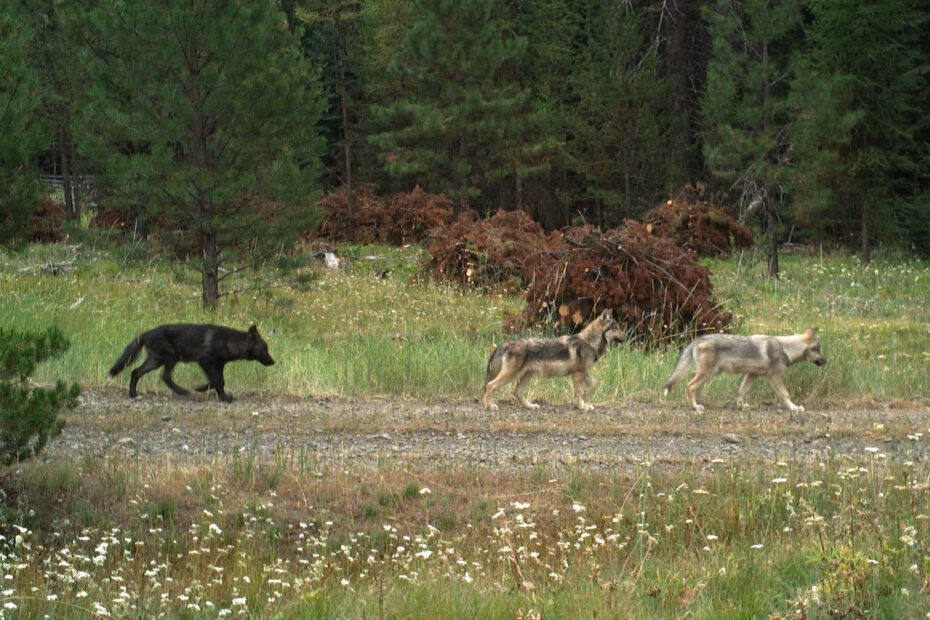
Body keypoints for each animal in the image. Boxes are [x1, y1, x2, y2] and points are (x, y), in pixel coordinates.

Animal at [109, 324, 275, 402]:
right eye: (265, 349)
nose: (273, 362)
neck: (227, 341)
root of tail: (143, 334)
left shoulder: (218, 365)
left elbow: (218, 381)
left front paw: (204, 389)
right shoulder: (205, 361)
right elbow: (218, 381)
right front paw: (224, 398)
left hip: (157, 361)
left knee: (136, 372)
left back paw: (133, 394)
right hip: (169, 358)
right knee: (164, 376)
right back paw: (181, 391)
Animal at [483, 309, 626, 411]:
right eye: (616, 328)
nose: (626, 337)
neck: (589, 342)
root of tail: (506, 344)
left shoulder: (581, 372)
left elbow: (592, 384)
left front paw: (581, 402)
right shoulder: (578, 373)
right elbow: (580, 391)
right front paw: (582, 405)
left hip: (526, 375)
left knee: (516, 392)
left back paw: (530, 406)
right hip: (511, 375)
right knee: (490, 385)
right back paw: (490, 406)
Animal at [663, 328, 826, 413]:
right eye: (819, 350)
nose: (826, 362)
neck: (786, 348)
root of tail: (698, 339)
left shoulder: (752, 374)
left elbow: (742, 391)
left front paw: (742, 406)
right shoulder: (774, 376)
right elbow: (785, 394)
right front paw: (794, 408)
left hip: (710, 373)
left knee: (693, 381)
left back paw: (702, 401)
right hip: (708, 373)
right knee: (689, 386)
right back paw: (695, 407)